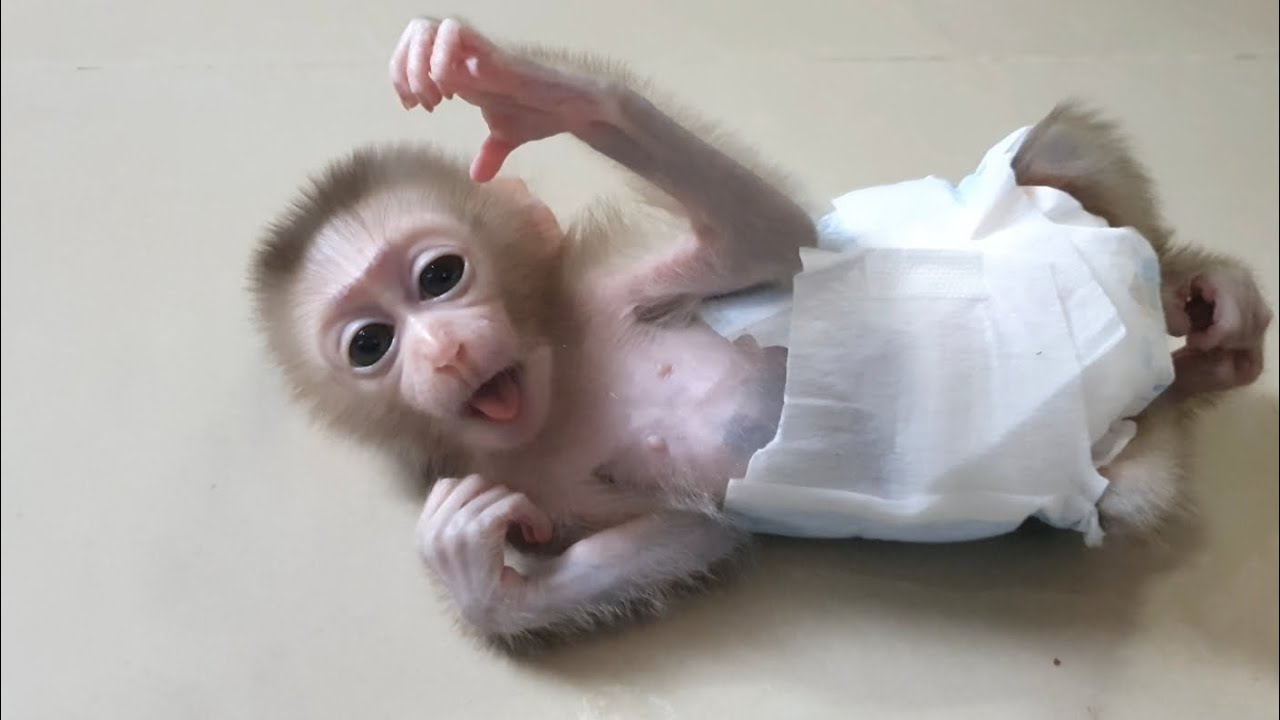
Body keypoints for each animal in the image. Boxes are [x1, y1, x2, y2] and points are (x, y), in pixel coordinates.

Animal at [249, 17, 1273, 650]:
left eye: (440, 276)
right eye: (372, 344)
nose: (448, 351)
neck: (563, 380)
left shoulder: (615, 290)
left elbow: (775, 241)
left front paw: (543, 93)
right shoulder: (536, 484)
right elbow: (693, 539)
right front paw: (478, 576)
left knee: (1060, 151)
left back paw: (1209, 300)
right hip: (1110, 458)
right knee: (1137, 482)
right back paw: (1201, 353)